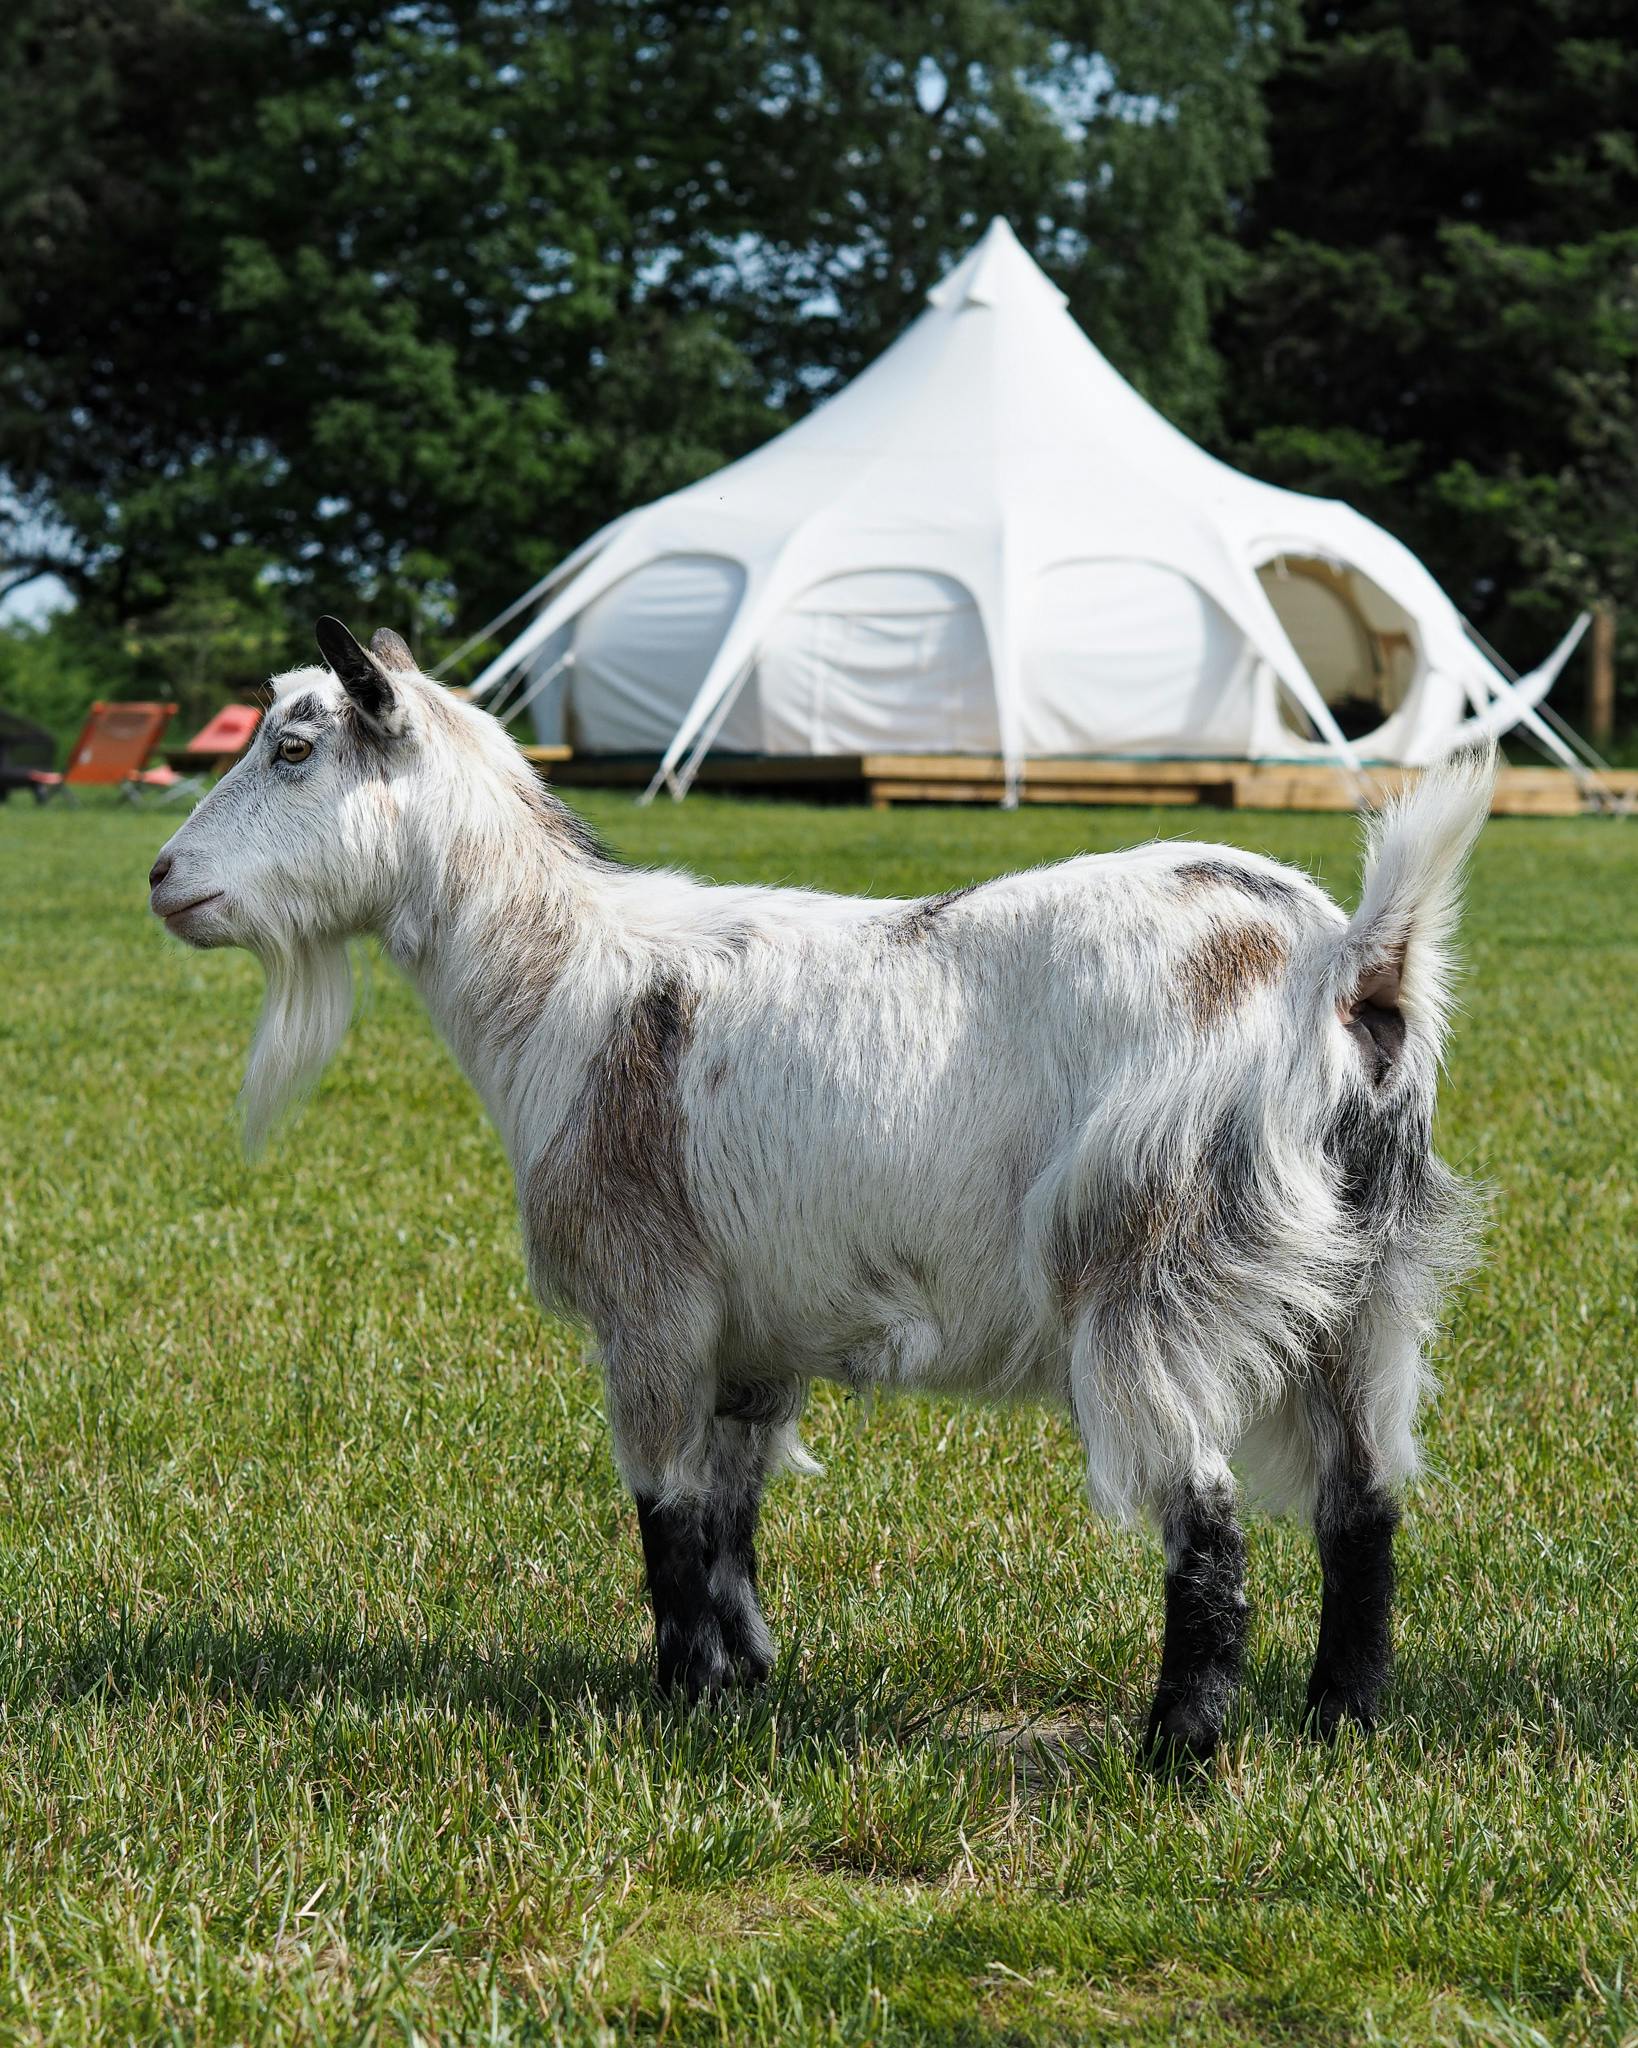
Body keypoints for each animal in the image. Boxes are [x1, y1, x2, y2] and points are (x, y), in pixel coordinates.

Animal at [149, 618, 1488, 1761]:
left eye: (295, 747)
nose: (164, 878)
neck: (561, 980)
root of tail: (1346, 962)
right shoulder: (756, 1328)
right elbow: (732, 1509)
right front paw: (742, 1675)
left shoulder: (651, 1299)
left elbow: (667, 1507)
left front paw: (681, 1696)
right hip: (1370, 1284)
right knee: (1364, 1497)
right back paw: (1342, 1721)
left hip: (1152, 1261)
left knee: (1205, 1514)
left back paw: (1180, 1749)